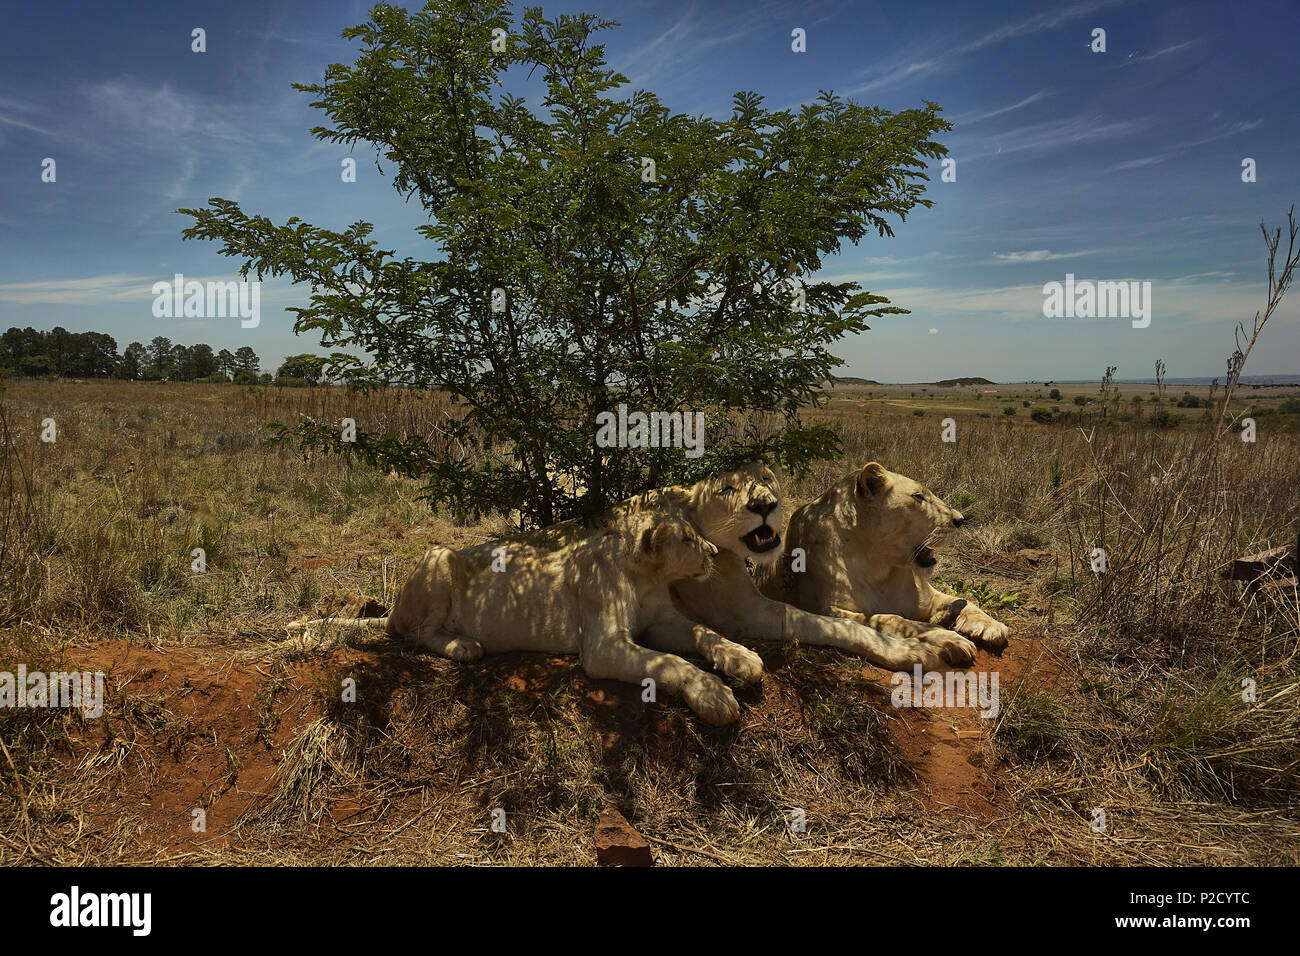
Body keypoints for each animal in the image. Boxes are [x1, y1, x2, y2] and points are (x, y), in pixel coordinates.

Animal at [755, 461, 1010, 653]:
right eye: (918, 496)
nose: (960, 519)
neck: (880, 566)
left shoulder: (926, 596)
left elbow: (964, 600)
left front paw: (991, 626)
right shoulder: (824, 608)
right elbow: (891, 619)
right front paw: (946, 636)